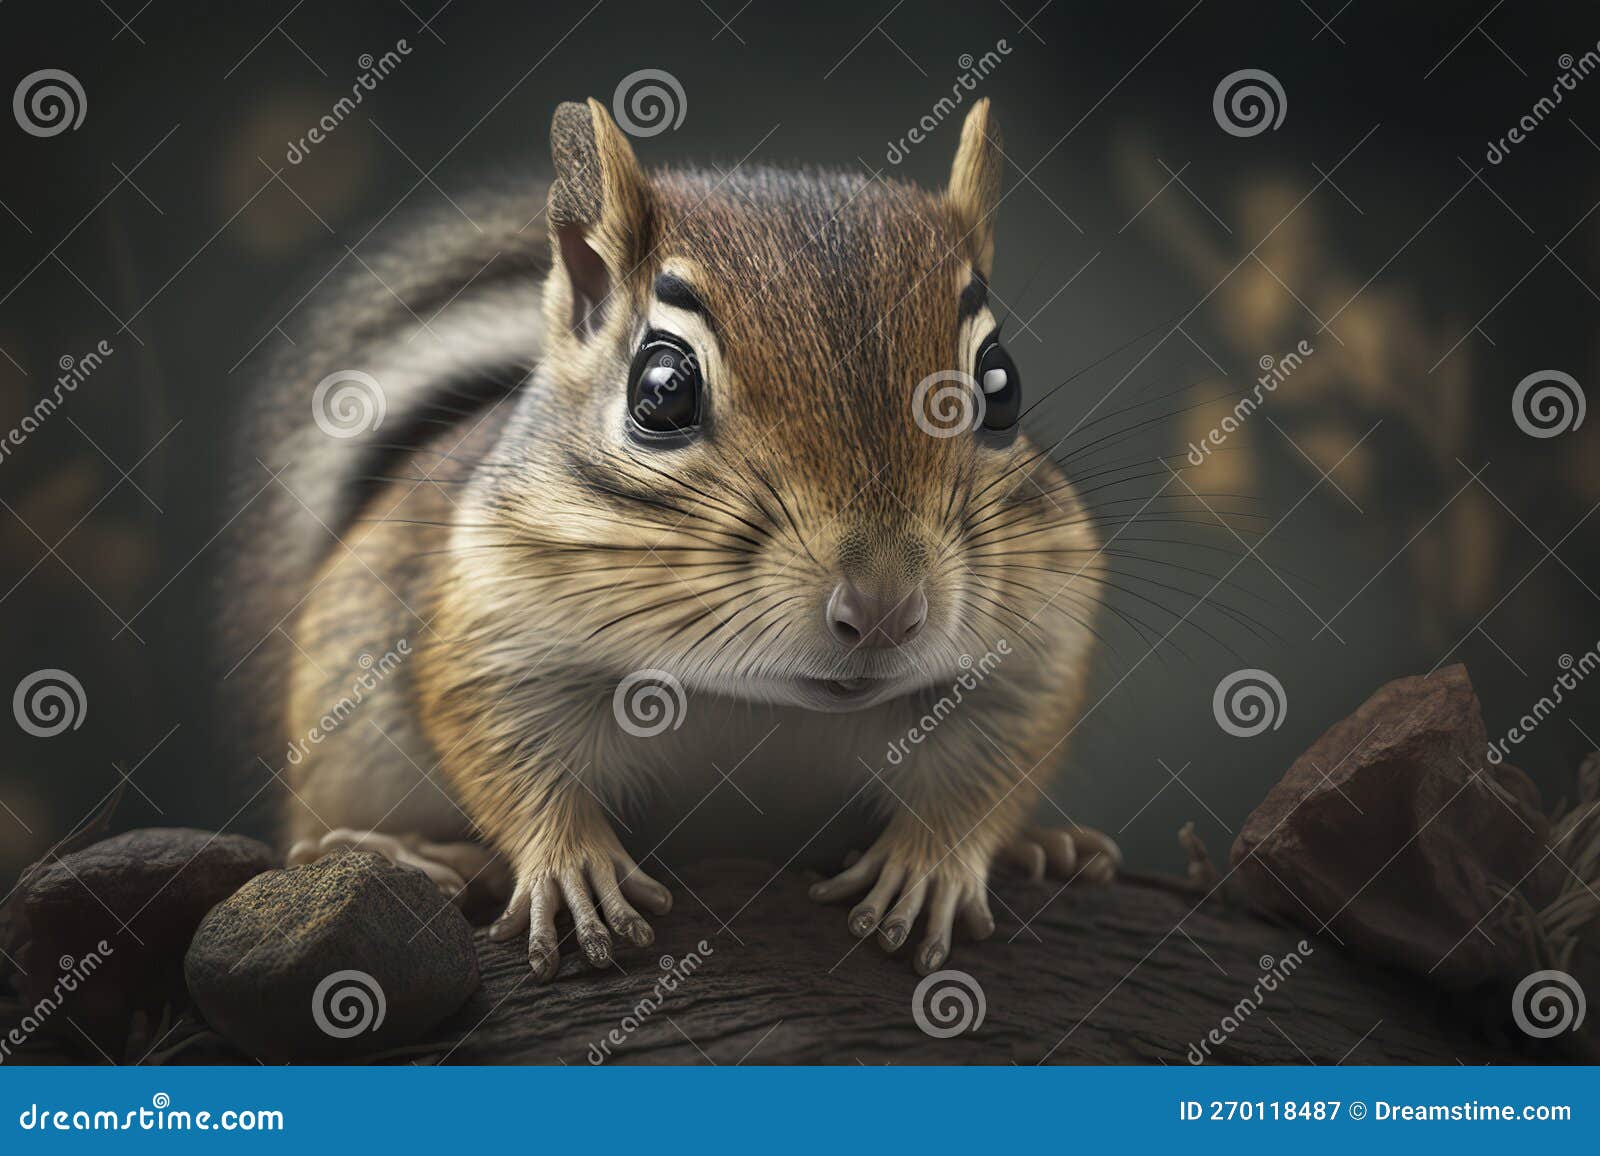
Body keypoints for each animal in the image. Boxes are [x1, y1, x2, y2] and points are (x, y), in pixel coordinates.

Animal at [224, 96, 1119, 981]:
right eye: (661, 389)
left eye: (1002, 385)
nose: (884, 610)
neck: (759, 701)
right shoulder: (488, 616)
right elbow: (502, 747)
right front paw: (570, 866)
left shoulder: (1039, 623)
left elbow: (998, 754)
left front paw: (932, 862)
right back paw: (396, 849)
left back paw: (1049, 848)